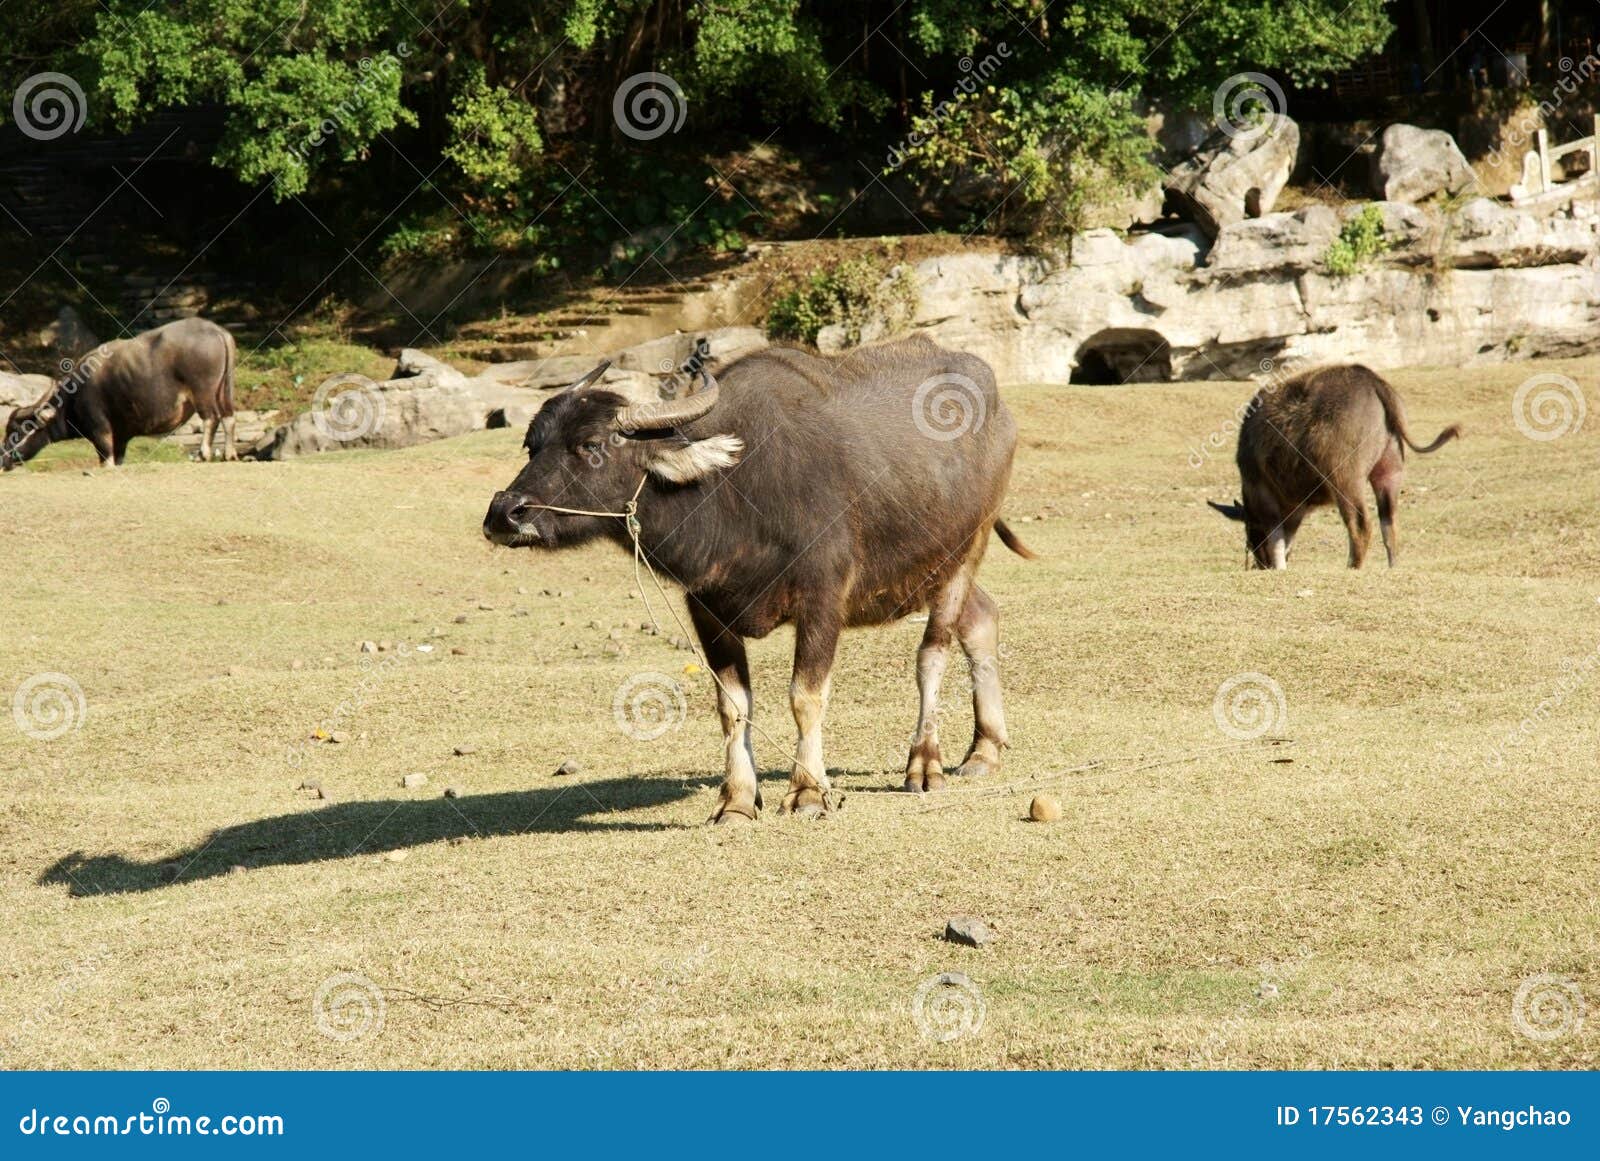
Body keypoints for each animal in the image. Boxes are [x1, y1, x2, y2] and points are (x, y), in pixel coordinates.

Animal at [1, 317, 237, 470]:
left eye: (18, 430)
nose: (3, 459)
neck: (74, 397)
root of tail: (218, 332)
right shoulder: (121, 434)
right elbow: (119, 455)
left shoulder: (100, 428)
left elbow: (105, 455)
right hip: (224, 391)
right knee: (228, 417)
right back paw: (229, 454)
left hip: (203, 392)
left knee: (211, 418)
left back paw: (203, 455)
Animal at [482, 336, 1035, 823]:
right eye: (531, 445)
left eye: (591, 445)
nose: (505, 513)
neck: (735, 490)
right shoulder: (707, 610)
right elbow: (732, 707)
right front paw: (737, 800)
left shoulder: (823, 600)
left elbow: (805, 697)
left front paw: (808, 792)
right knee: (982, 618)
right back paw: (984, 750)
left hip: (966, 552)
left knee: (932, 654)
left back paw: (925, 762)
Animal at [1208, 364, 1461, 569]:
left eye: (1250, 529)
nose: (1261, 565)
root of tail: (1372, 380)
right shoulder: (1296, 507)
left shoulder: (1264, 494)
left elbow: (1277, 539)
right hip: (1390, 470)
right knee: (1389, 523)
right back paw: (1392, 566)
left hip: (1345, 477)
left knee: (1360, 524)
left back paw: (1352, 567)